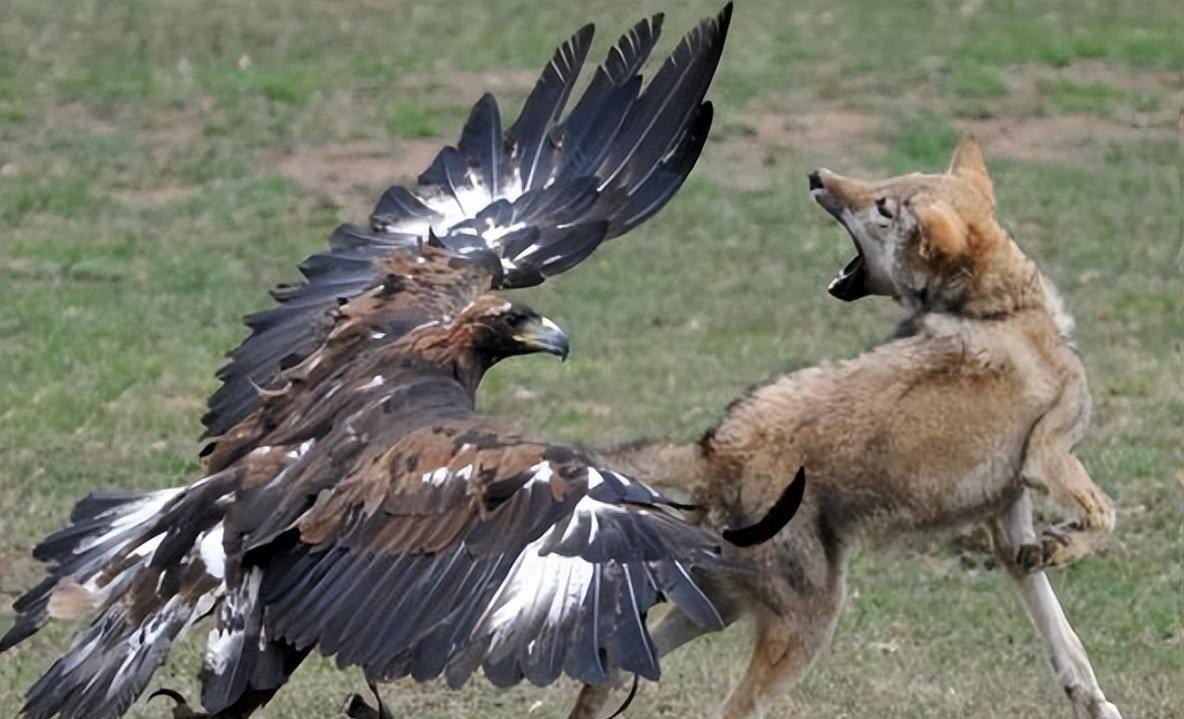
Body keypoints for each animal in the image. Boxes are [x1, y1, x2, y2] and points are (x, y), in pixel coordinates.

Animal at [566, 138, 1122, 719]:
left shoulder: (1008, 525)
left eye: (883, 203)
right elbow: (1104, 517)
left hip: (716, 606)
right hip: (802, 627)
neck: (1005, 307)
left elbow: (1068, 646)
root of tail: (715, 447)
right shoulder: (1046, 458)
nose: (816, 175)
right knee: (723, 706)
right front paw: (1064, 544)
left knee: (603, 674)